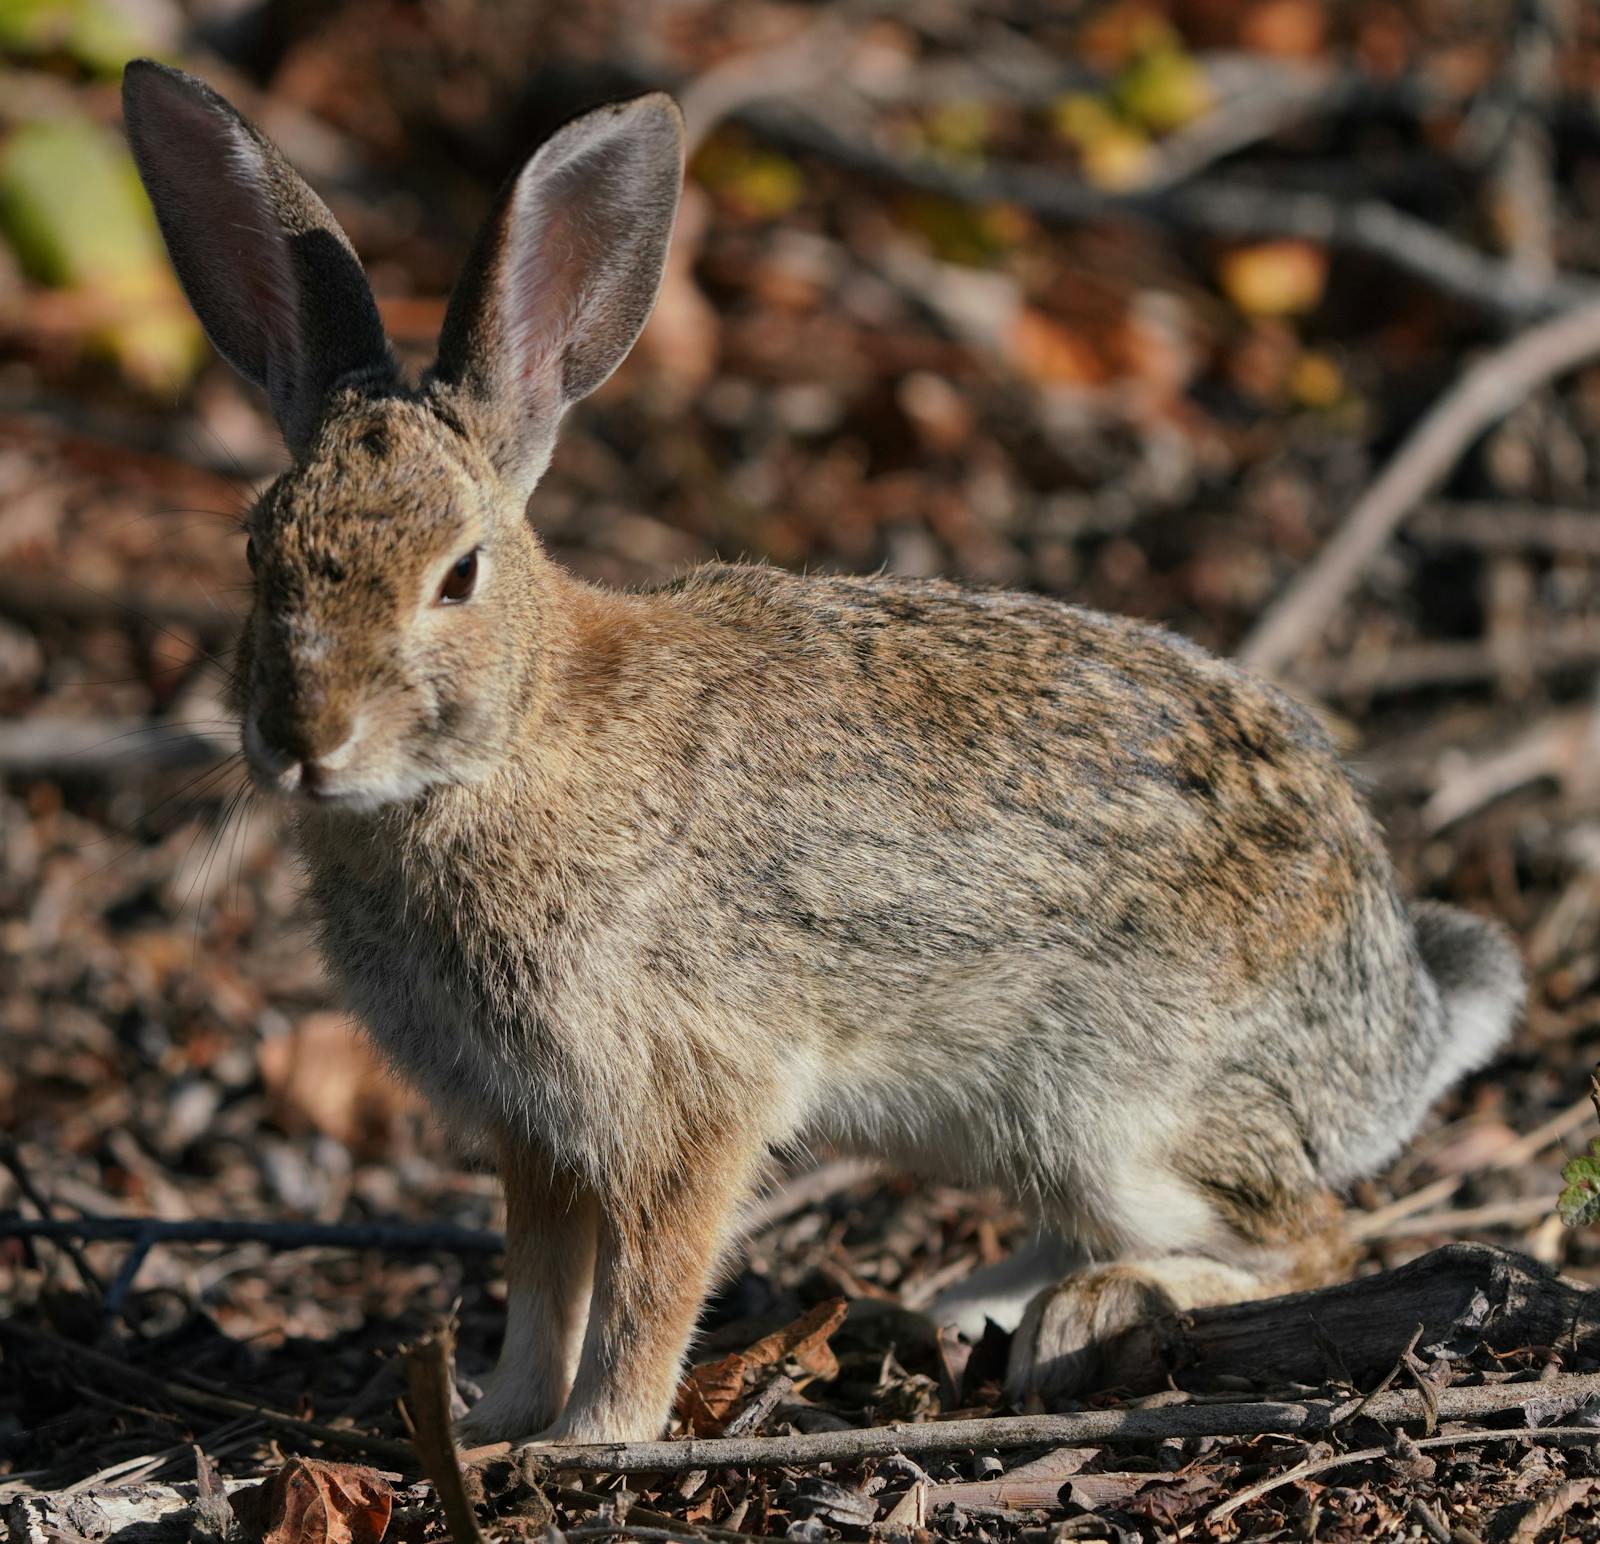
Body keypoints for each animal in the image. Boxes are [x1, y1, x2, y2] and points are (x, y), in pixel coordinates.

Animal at [122, 59, 1524, 1446]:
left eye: (457, 575)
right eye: (256, 546)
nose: (305, 740)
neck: (508, 747)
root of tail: (1398, 1010)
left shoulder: (689, 1089)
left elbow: (648, 1283)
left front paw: (595, 1439)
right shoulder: (541, 1127)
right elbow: (543, 1281)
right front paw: (496, 1425)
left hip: (1120, 1112)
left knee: (1311, 1238)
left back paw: (1095, 1309)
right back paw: (949, 1303)